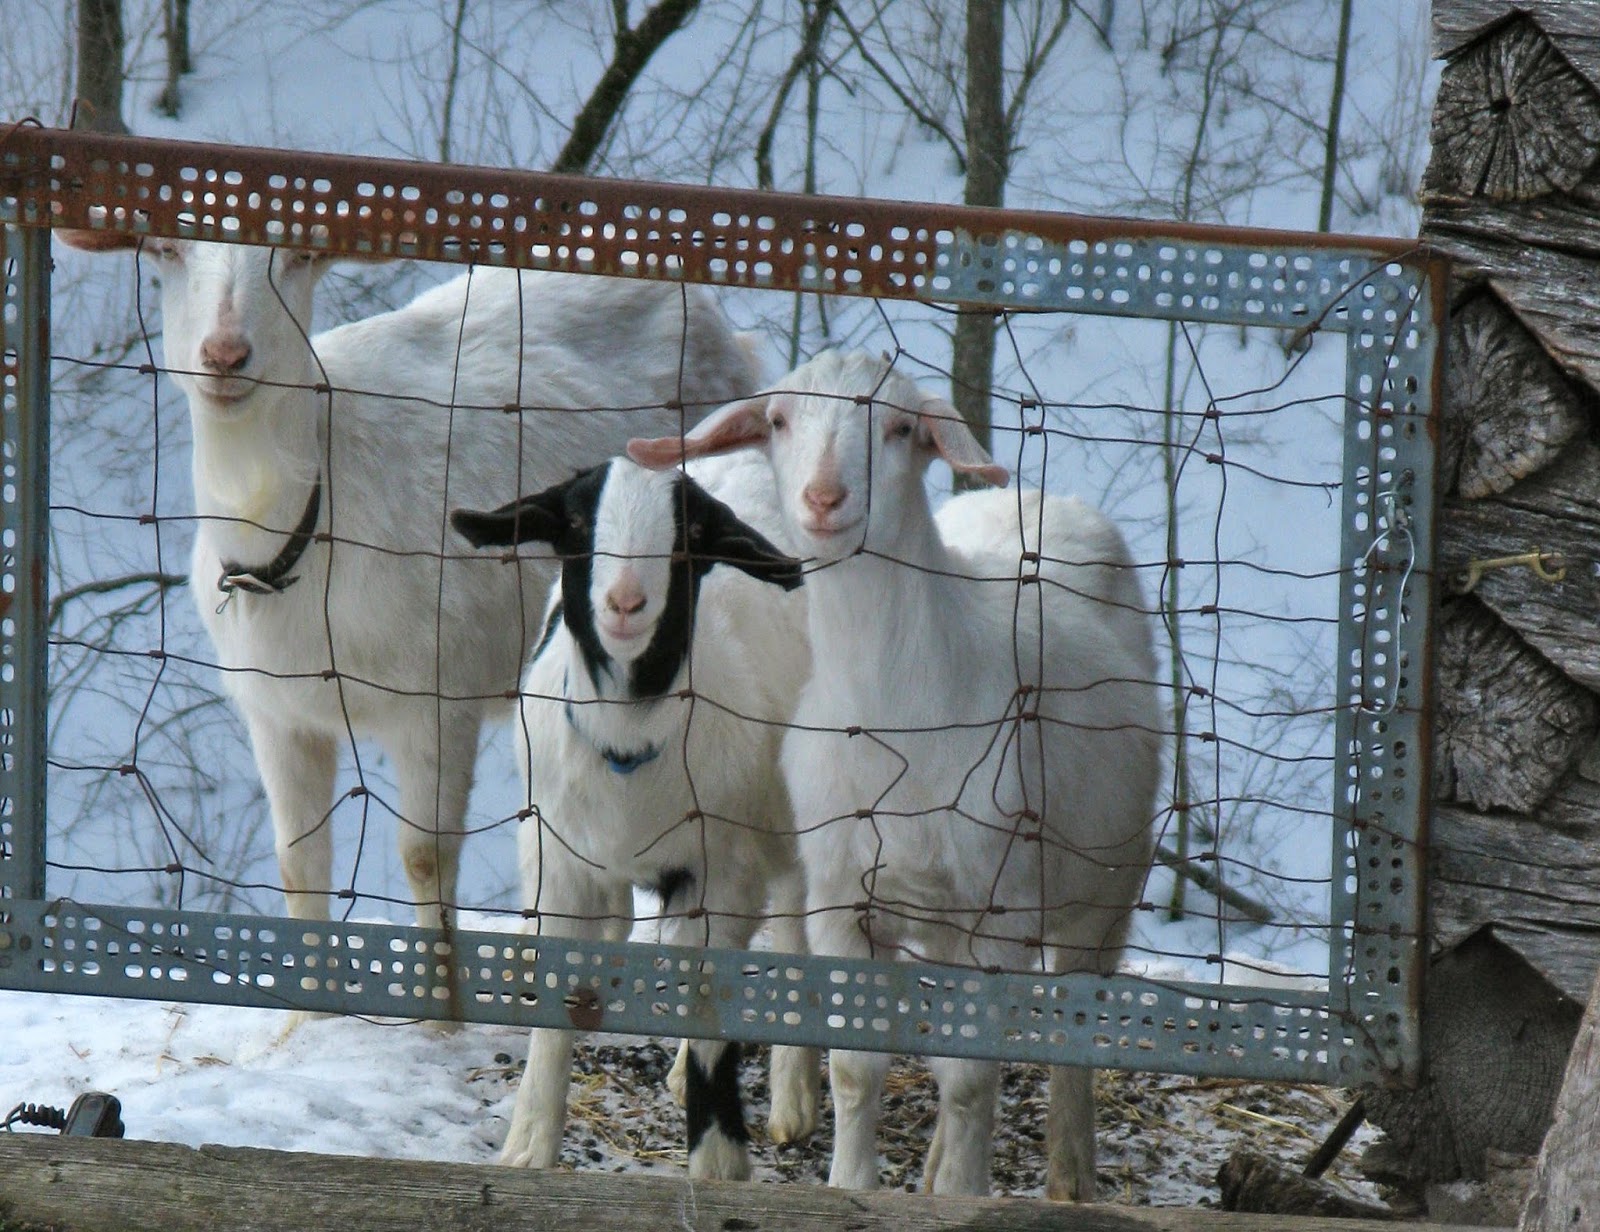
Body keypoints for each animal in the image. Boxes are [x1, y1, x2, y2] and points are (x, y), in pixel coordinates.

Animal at [58, 231, 759, 967]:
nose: (225, 353)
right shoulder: (276, 712)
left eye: (298, 258)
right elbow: (299, 864)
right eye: (164, 249)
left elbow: (425, 856)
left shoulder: (436, 695)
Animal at [451, 452, 819, 1178]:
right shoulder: (558, 860)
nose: (625, 601)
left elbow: (705, 1000)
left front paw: (717, 1162)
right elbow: (561, 983)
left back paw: (793, 1097)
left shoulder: (718, 867)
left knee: (790, 920)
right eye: (573, 523)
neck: (630, 743)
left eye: (691, 536)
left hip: (788, 818)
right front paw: (529, 1146)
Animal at [629, 349, 1160, 1198]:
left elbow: (974, 1076)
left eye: (902, 426)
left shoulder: (997, 904)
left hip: (1105, 887)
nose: (824, 497)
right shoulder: (845, 894)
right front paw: (854, 1185)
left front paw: (965, 1197)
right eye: (777, 420)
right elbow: (859, 1067)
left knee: (1073, 1027)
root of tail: (1040, 497)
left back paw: (1069, 1174)